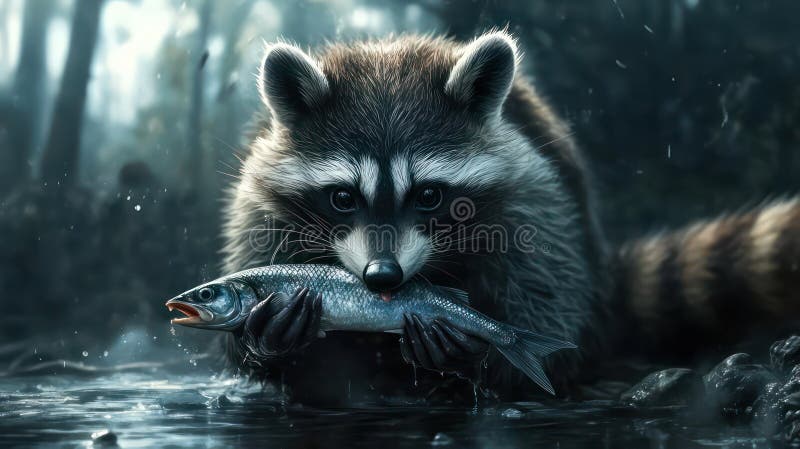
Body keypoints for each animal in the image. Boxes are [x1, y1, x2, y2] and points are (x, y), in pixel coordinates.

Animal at [222, 31, 800, 402]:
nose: (382, 277)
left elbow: (547, 296)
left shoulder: (533, 193)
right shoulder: (261, 209)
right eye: (342, 198)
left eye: (428, 194)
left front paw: (473, 359)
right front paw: (269, 338)